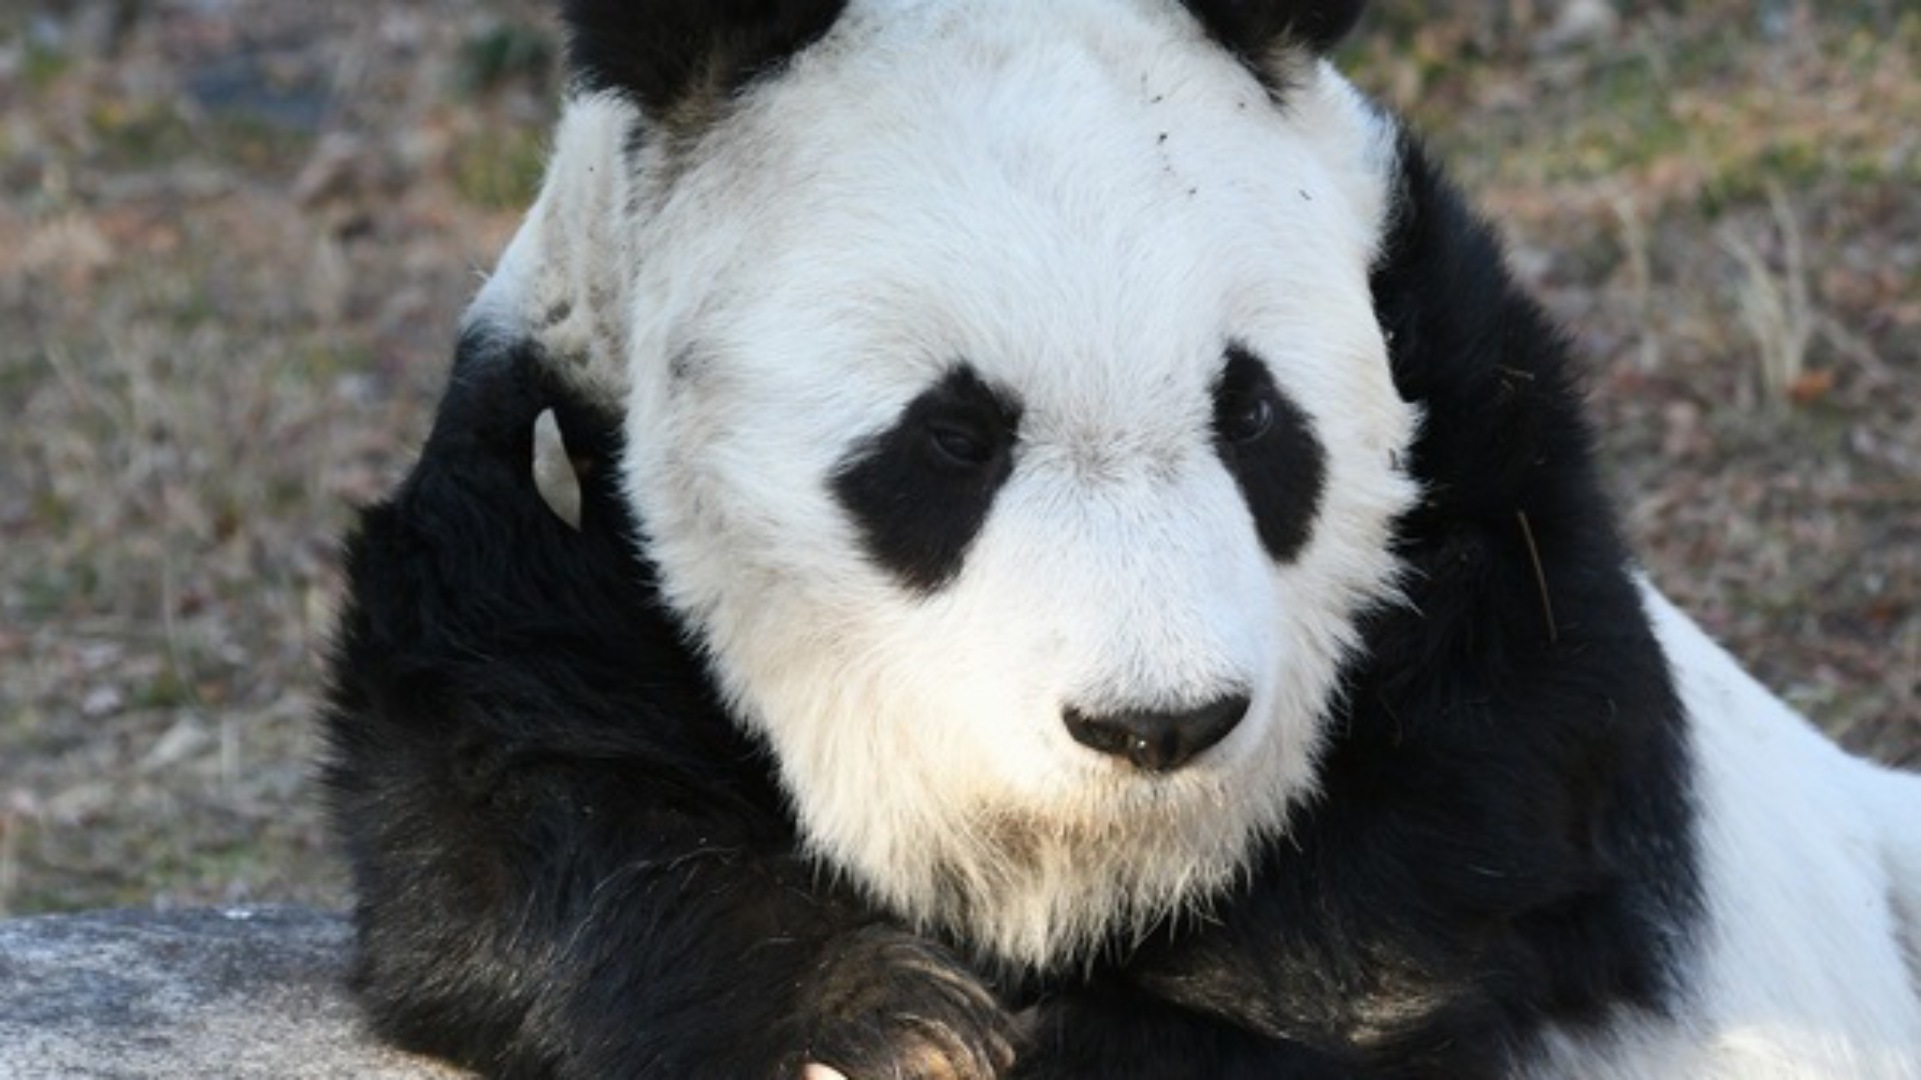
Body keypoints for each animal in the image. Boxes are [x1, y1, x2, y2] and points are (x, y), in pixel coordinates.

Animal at [320, 1, 1921, 1077]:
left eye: (1254, 416)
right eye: (951, 441)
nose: (1159, 725)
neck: (1088, 875)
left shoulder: (1476, 428)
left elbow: (1483, 804)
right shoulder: (546, 492)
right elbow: (505, 808)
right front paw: (889, 1022)